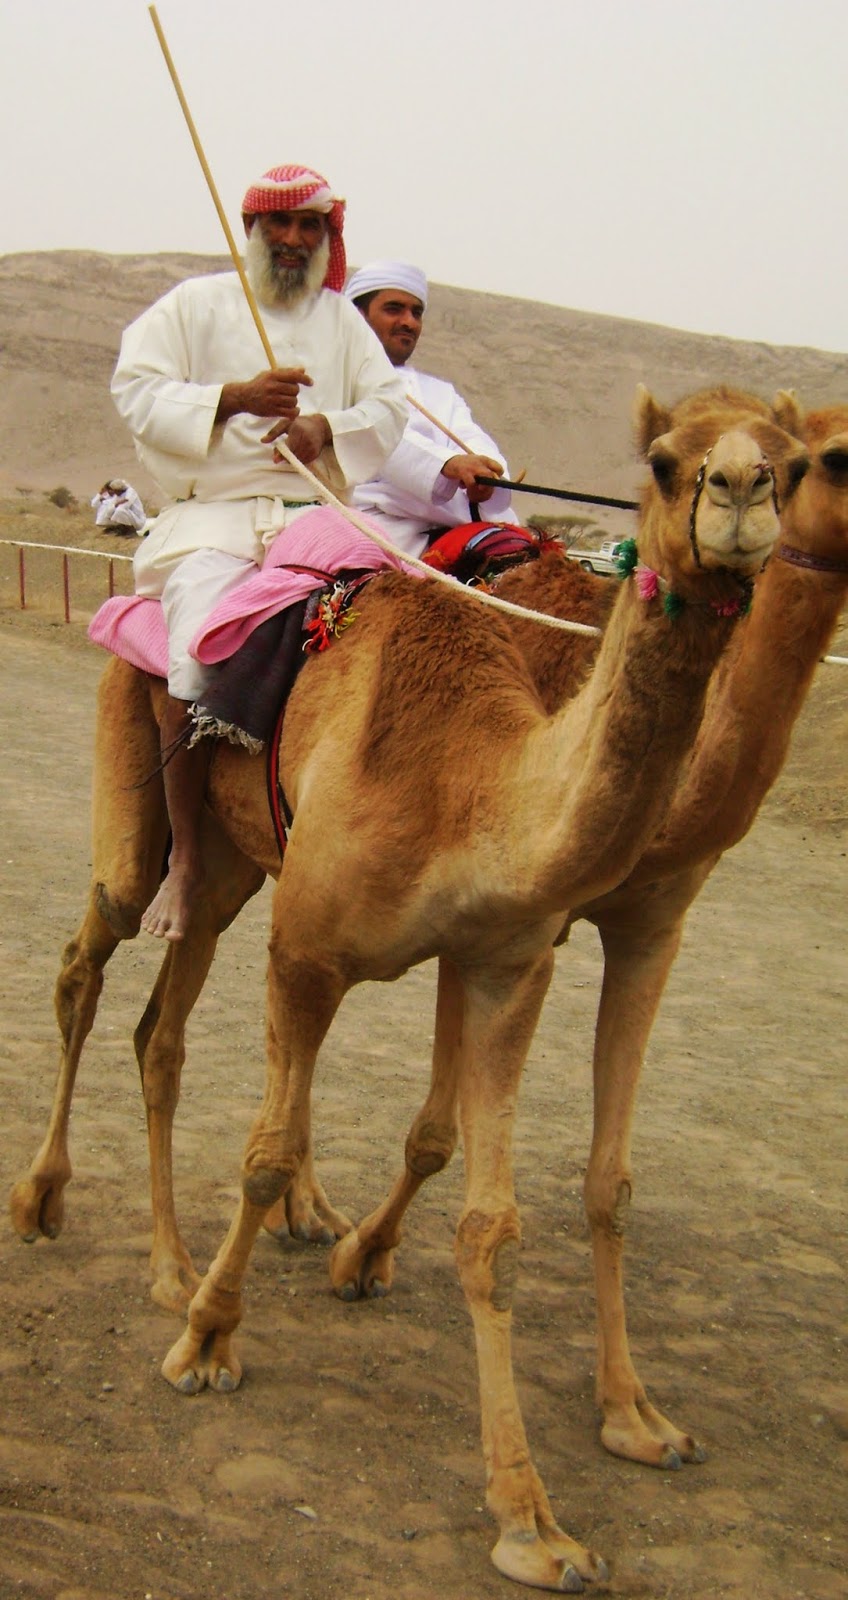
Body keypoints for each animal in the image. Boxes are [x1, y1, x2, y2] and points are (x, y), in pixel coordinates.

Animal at [9, 385, 809, 1592]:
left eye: (797, 465)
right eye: (666, 463)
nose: (741, 498)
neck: (471, 778)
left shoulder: (507, 961)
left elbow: (490, 1224)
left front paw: (534, 1515)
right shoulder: (307, 948)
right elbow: (262, 1155)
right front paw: (207, 1342)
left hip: (231, 870)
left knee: (163, 1030)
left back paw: (168, 1263)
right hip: (140, 809)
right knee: (84, 964)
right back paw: (51, 1205)